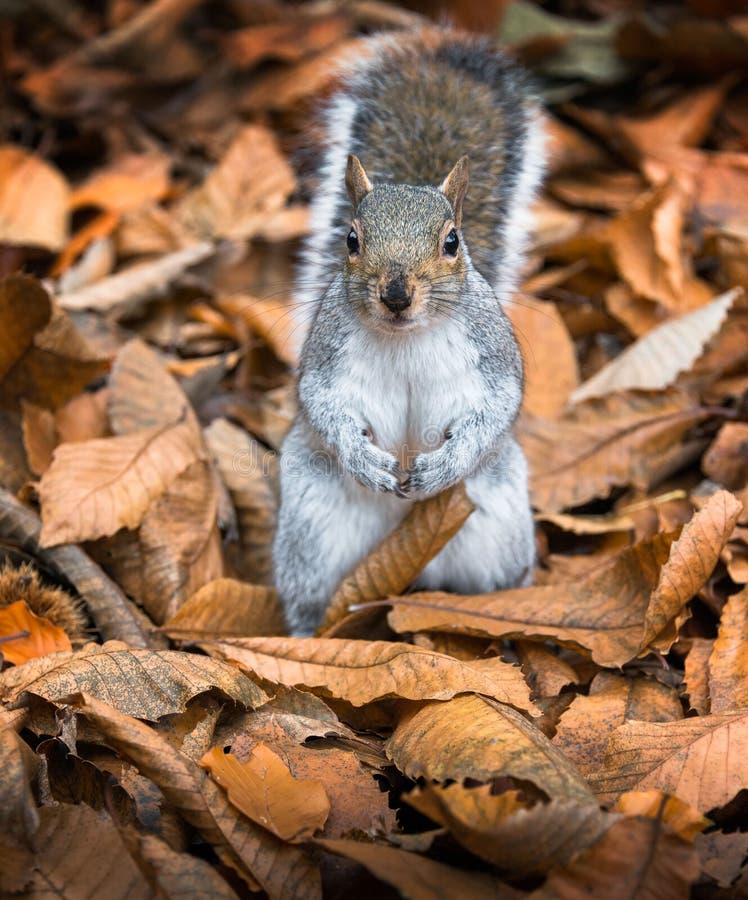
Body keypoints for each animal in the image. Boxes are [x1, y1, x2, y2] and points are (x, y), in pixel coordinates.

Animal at [273, 29, 546, 636]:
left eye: (452, 241)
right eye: (351, 239)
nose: (396, 294)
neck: (405, 337)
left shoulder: (491, 356)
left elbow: (494, 409)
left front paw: (444, 462)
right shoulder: (326, 357)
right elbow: (322, 403)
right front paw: (363, 457)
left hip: (497, 521)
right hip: (310, 527)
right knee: (308, 596)